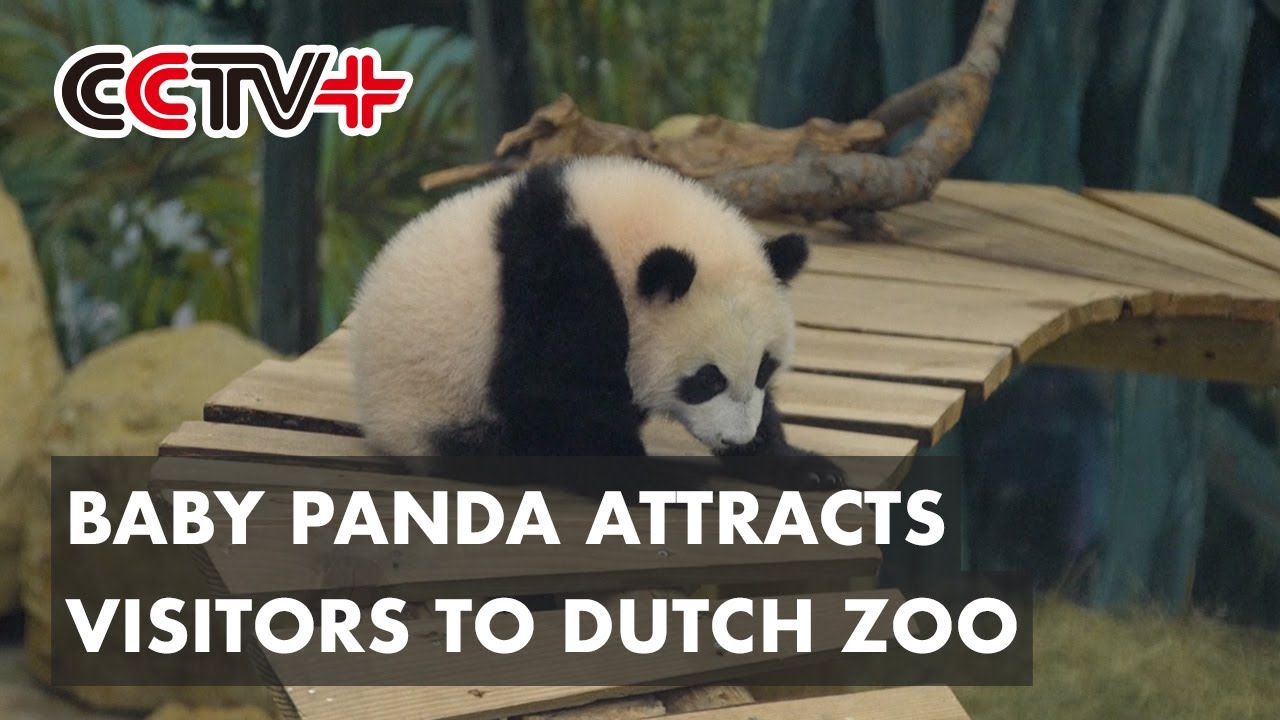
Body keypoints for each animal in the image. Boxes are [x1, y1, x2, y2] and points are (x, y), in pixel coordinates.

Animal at [350, 156, 843, 491]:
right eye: (707, 380)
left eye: (765, 369)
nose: (735, 439)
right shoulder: (555, 281)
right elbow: (554, 390)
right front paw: (657, 481)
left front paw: (800, 465)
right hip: (435, 405)